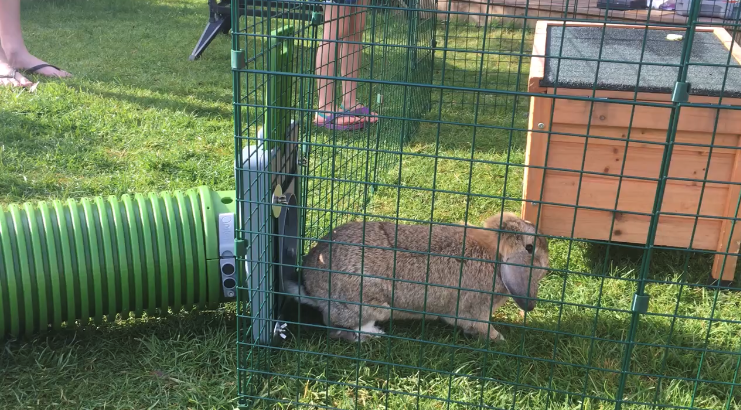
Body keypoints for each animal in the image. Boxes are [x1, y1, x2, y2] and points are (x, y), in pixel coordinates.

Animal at [283, 212, 549, 343]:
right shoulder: (475, 311)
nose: (548, 265)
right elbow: (481, 326)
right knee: (336, 328)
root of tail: (311, 288)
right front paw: (500, 339)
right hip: (369, 303)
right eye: (531, 248)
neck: (494, 257)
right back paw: (373, 334)